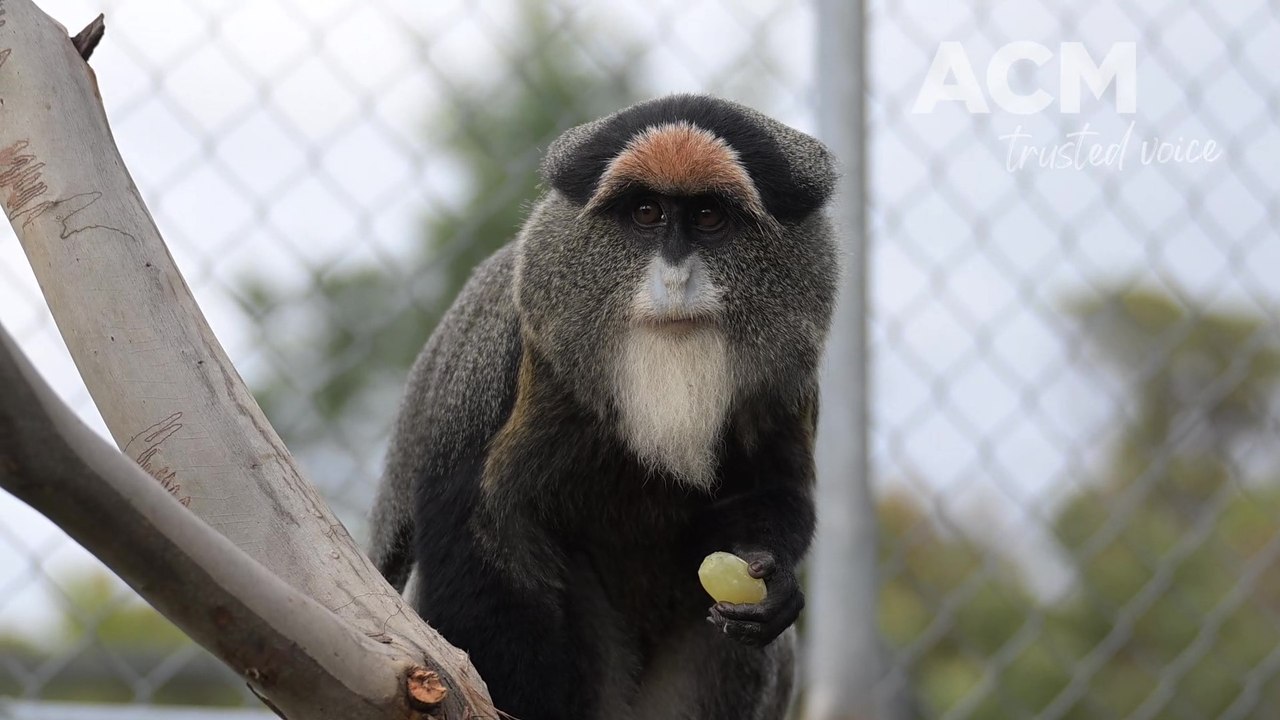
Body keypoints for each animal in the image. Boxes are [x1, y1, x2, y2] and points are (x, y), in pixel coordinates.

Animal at [368, 94, 838, 720]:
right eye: (646, 213)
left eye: (709, 217)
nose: (675, 277)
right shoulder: (510, 356)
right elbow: (476, 538)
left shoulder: (788, 375)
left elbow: (774, 489)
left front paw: (776, 582)